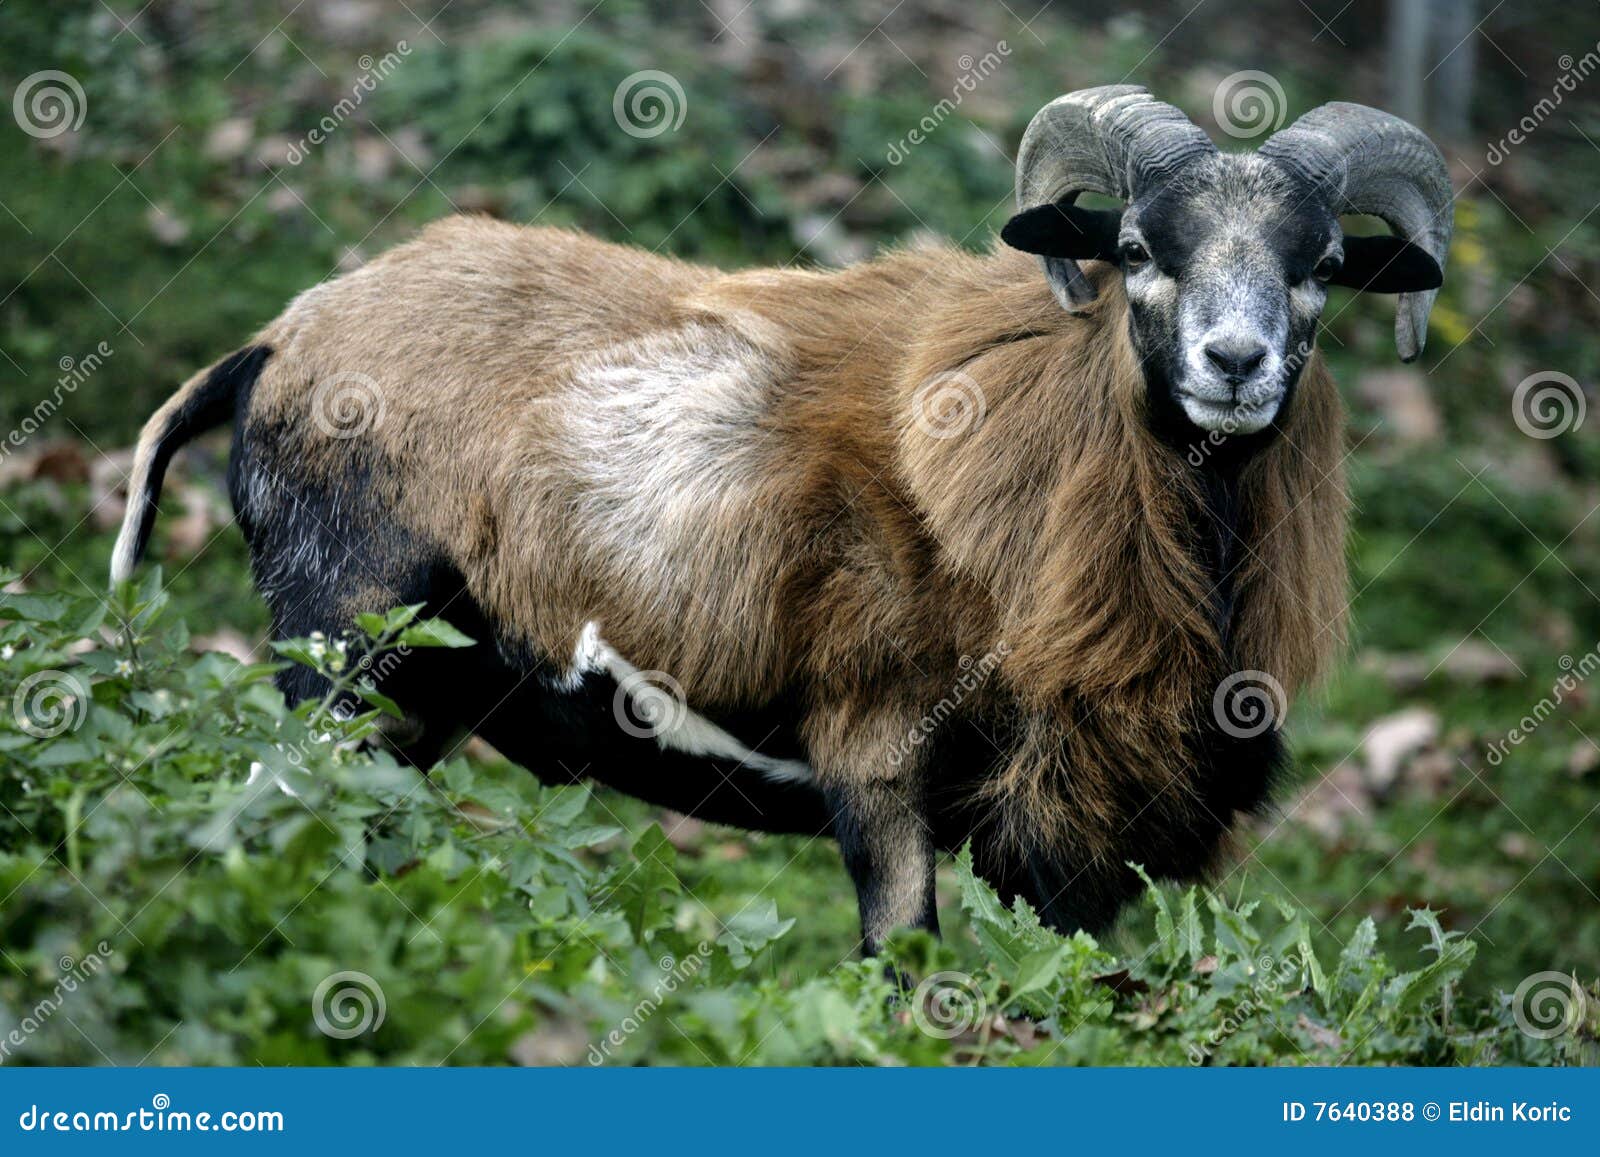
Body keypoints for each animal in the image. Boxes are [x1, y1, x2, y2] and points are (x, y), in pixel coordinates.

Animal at [112, 88, 1452, 950]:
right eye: (1133, 246)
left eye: (1324, 263)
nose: (1235, 363)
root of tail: (277, 342)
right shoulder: (880, 771)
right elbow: (904, 969)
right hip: (339, 654)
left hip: (419, 703)